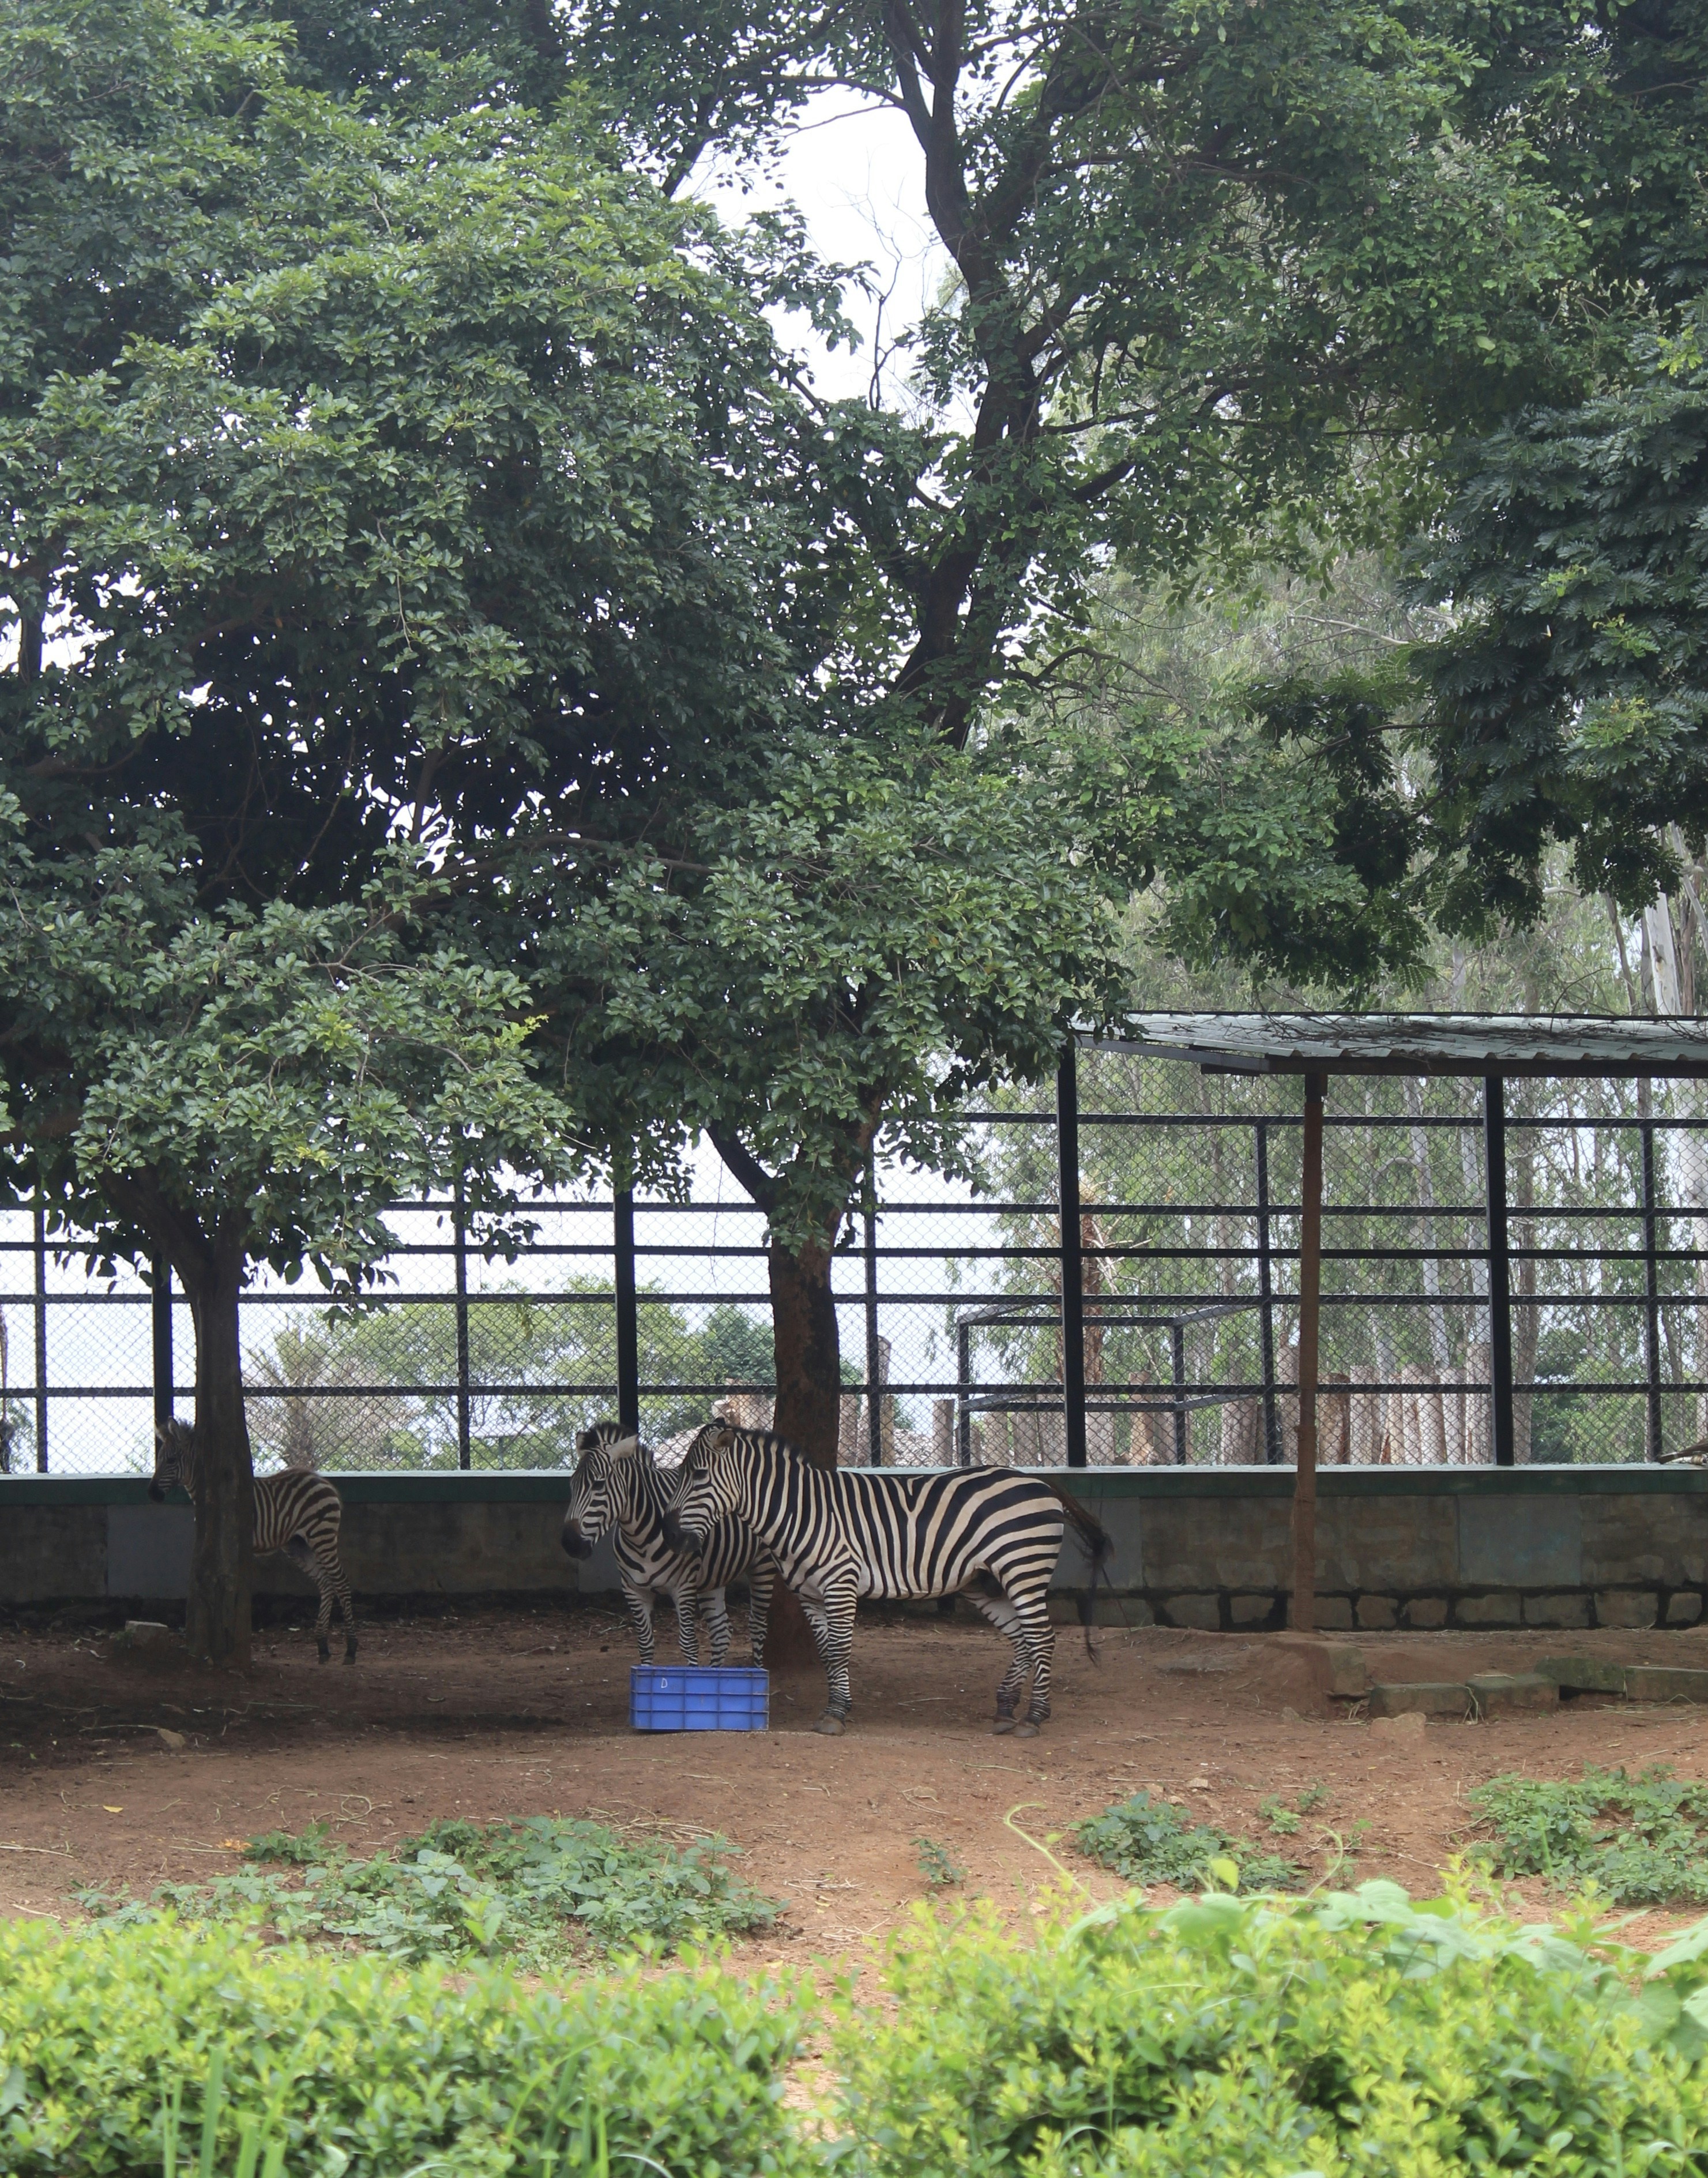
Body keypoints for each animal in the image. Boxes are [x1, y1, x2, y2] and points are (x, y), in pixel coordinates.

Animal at [149, 1419, 357, 1664]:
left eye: (171, 1460)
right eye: (159, 1459)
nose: (152, 1494)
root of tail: (322, 1480)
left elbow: (233, 1582)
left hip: (322, 1536)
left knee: (341, 1582)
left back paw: (351, 1649)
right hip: (298, 1545)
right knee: (326, 1584)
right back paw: (323, 1647)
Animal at [561, 1421, 775, 1666]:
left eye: (598, 1485)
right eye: (571, 1484)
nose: (569, 1543)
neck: (640, 1538)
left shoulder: (683, 1586)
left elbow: (689, 1644)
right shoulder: (634, 1590)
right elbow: (645, 1644)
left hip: (763, 1565)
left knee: (757, 1627)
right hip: (714, 1575)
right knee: (722, 1631)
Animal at [662, 1423, 1111, 1736]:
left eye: (698, 1475)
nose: (668, 1535)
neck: (800, 1511)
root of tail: (1040, 1481)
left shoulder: (840, 1583)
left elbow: (840, 1650)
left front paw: (836, 1714)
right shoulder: (811, 1595)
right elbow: (827, 1654)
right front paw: (835, 1709)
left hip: (1023, 1568)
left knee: (1042, 1638)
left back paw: (1034, 1717)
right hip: (985, 1582)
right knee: (1022, 1638)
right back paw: (1004, 1710)